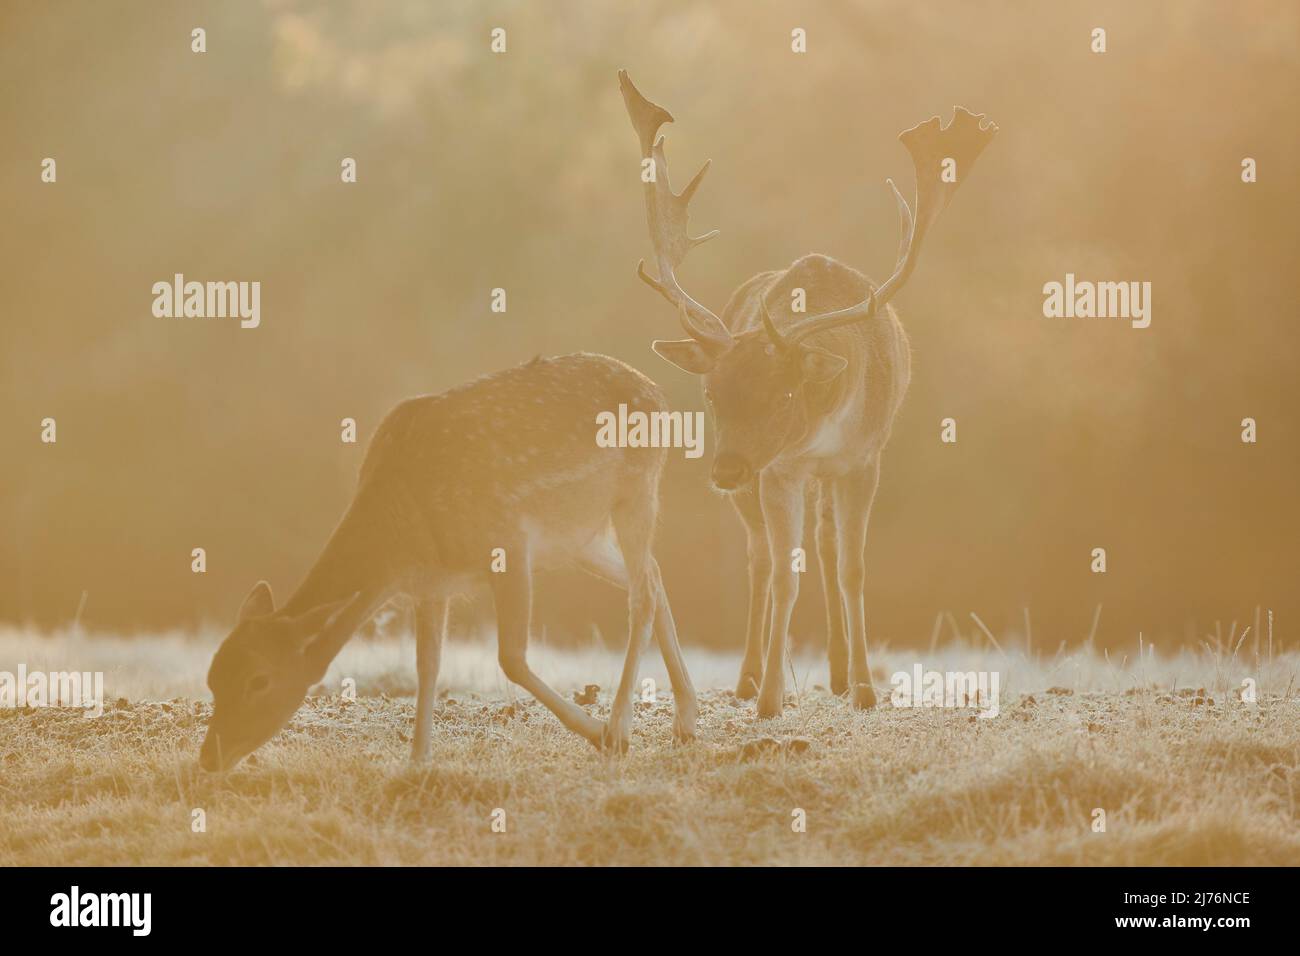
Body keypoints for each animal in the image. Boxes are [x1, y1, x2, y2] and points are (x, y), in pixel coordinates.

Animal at [198, 352, 698, 771]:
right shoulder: (430, 584)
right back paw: (686, 722)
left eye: (259, 680)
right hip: (578, 539)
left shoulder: (508, 541)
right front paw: (418, 761)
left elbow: (510, 658)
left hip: (637, 489)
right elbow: (429, 665)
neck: (402, 531)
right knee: (653, 576)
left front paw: (599, 735)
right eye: (213, 677)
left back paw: (621, 726)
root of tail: (658, 393)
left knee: (641, 594)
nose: (208, 757)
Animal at [619, 70, 996, 719]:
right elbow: (782, 575)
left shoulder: (865, 460)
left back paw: (841, 673)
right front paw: (771, 696)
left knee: (822, 547)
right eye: (711, 393)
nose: (725, 470)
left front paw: (866, 689)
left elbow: (852, 569)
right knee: (762, 558)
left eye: (785, 394)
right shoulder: (780, 469)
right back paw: (749, 677)